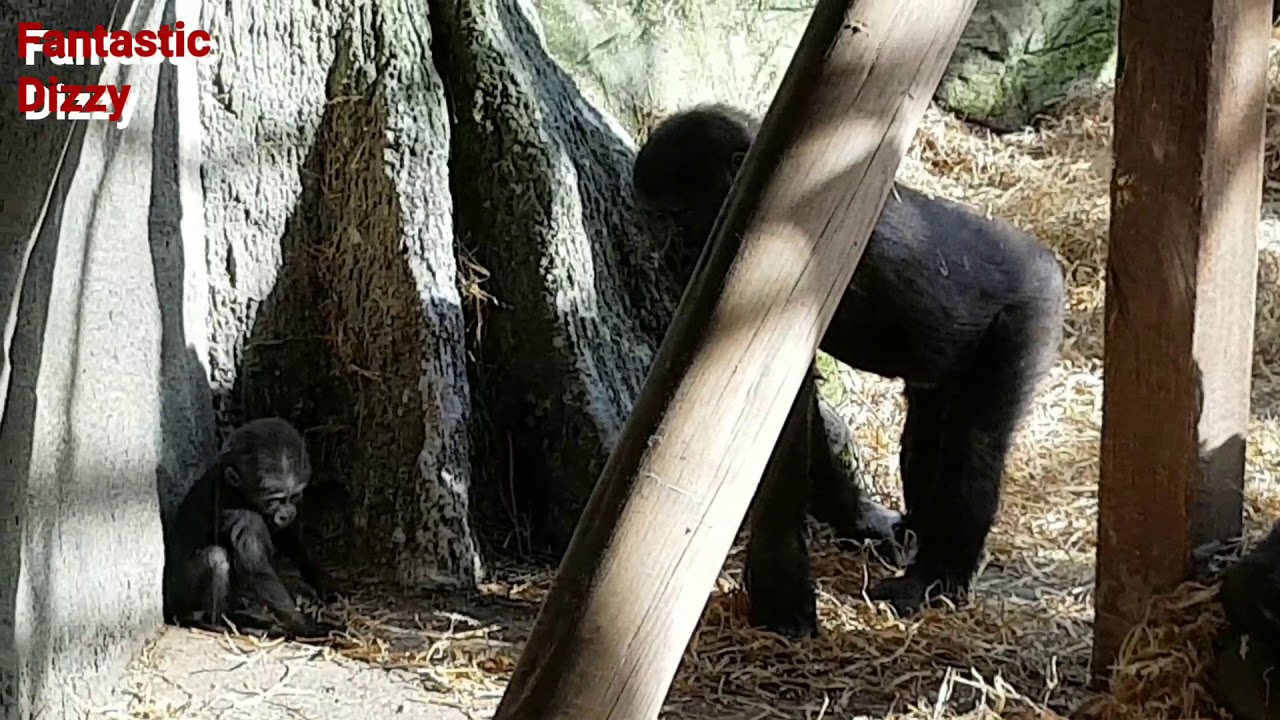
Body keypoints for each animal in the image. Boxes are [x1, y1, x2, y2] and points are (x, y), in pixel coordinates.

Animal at [162, 417, 337, 637]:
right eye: (276, 500)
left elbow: (290, 538)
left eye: (294, 496)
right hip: (178, 596)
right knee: (216, 558)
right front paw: (304, 624)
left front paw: (322, 580)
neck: (237, 490)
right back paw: (210, 622)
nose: (286, 513)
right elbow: (256, 567)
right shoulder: (243, 516)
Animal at [632, 104, 1066, 636]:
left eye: (680, 217)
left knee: (976, 444)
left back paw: (937, 576)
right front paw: (851, 524)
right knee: (928, 433)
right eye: (653, 221)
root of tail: (1045, 258)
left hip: (1028, 313)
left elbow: (780, 416)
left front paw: (780, 591)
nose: (667, 255)